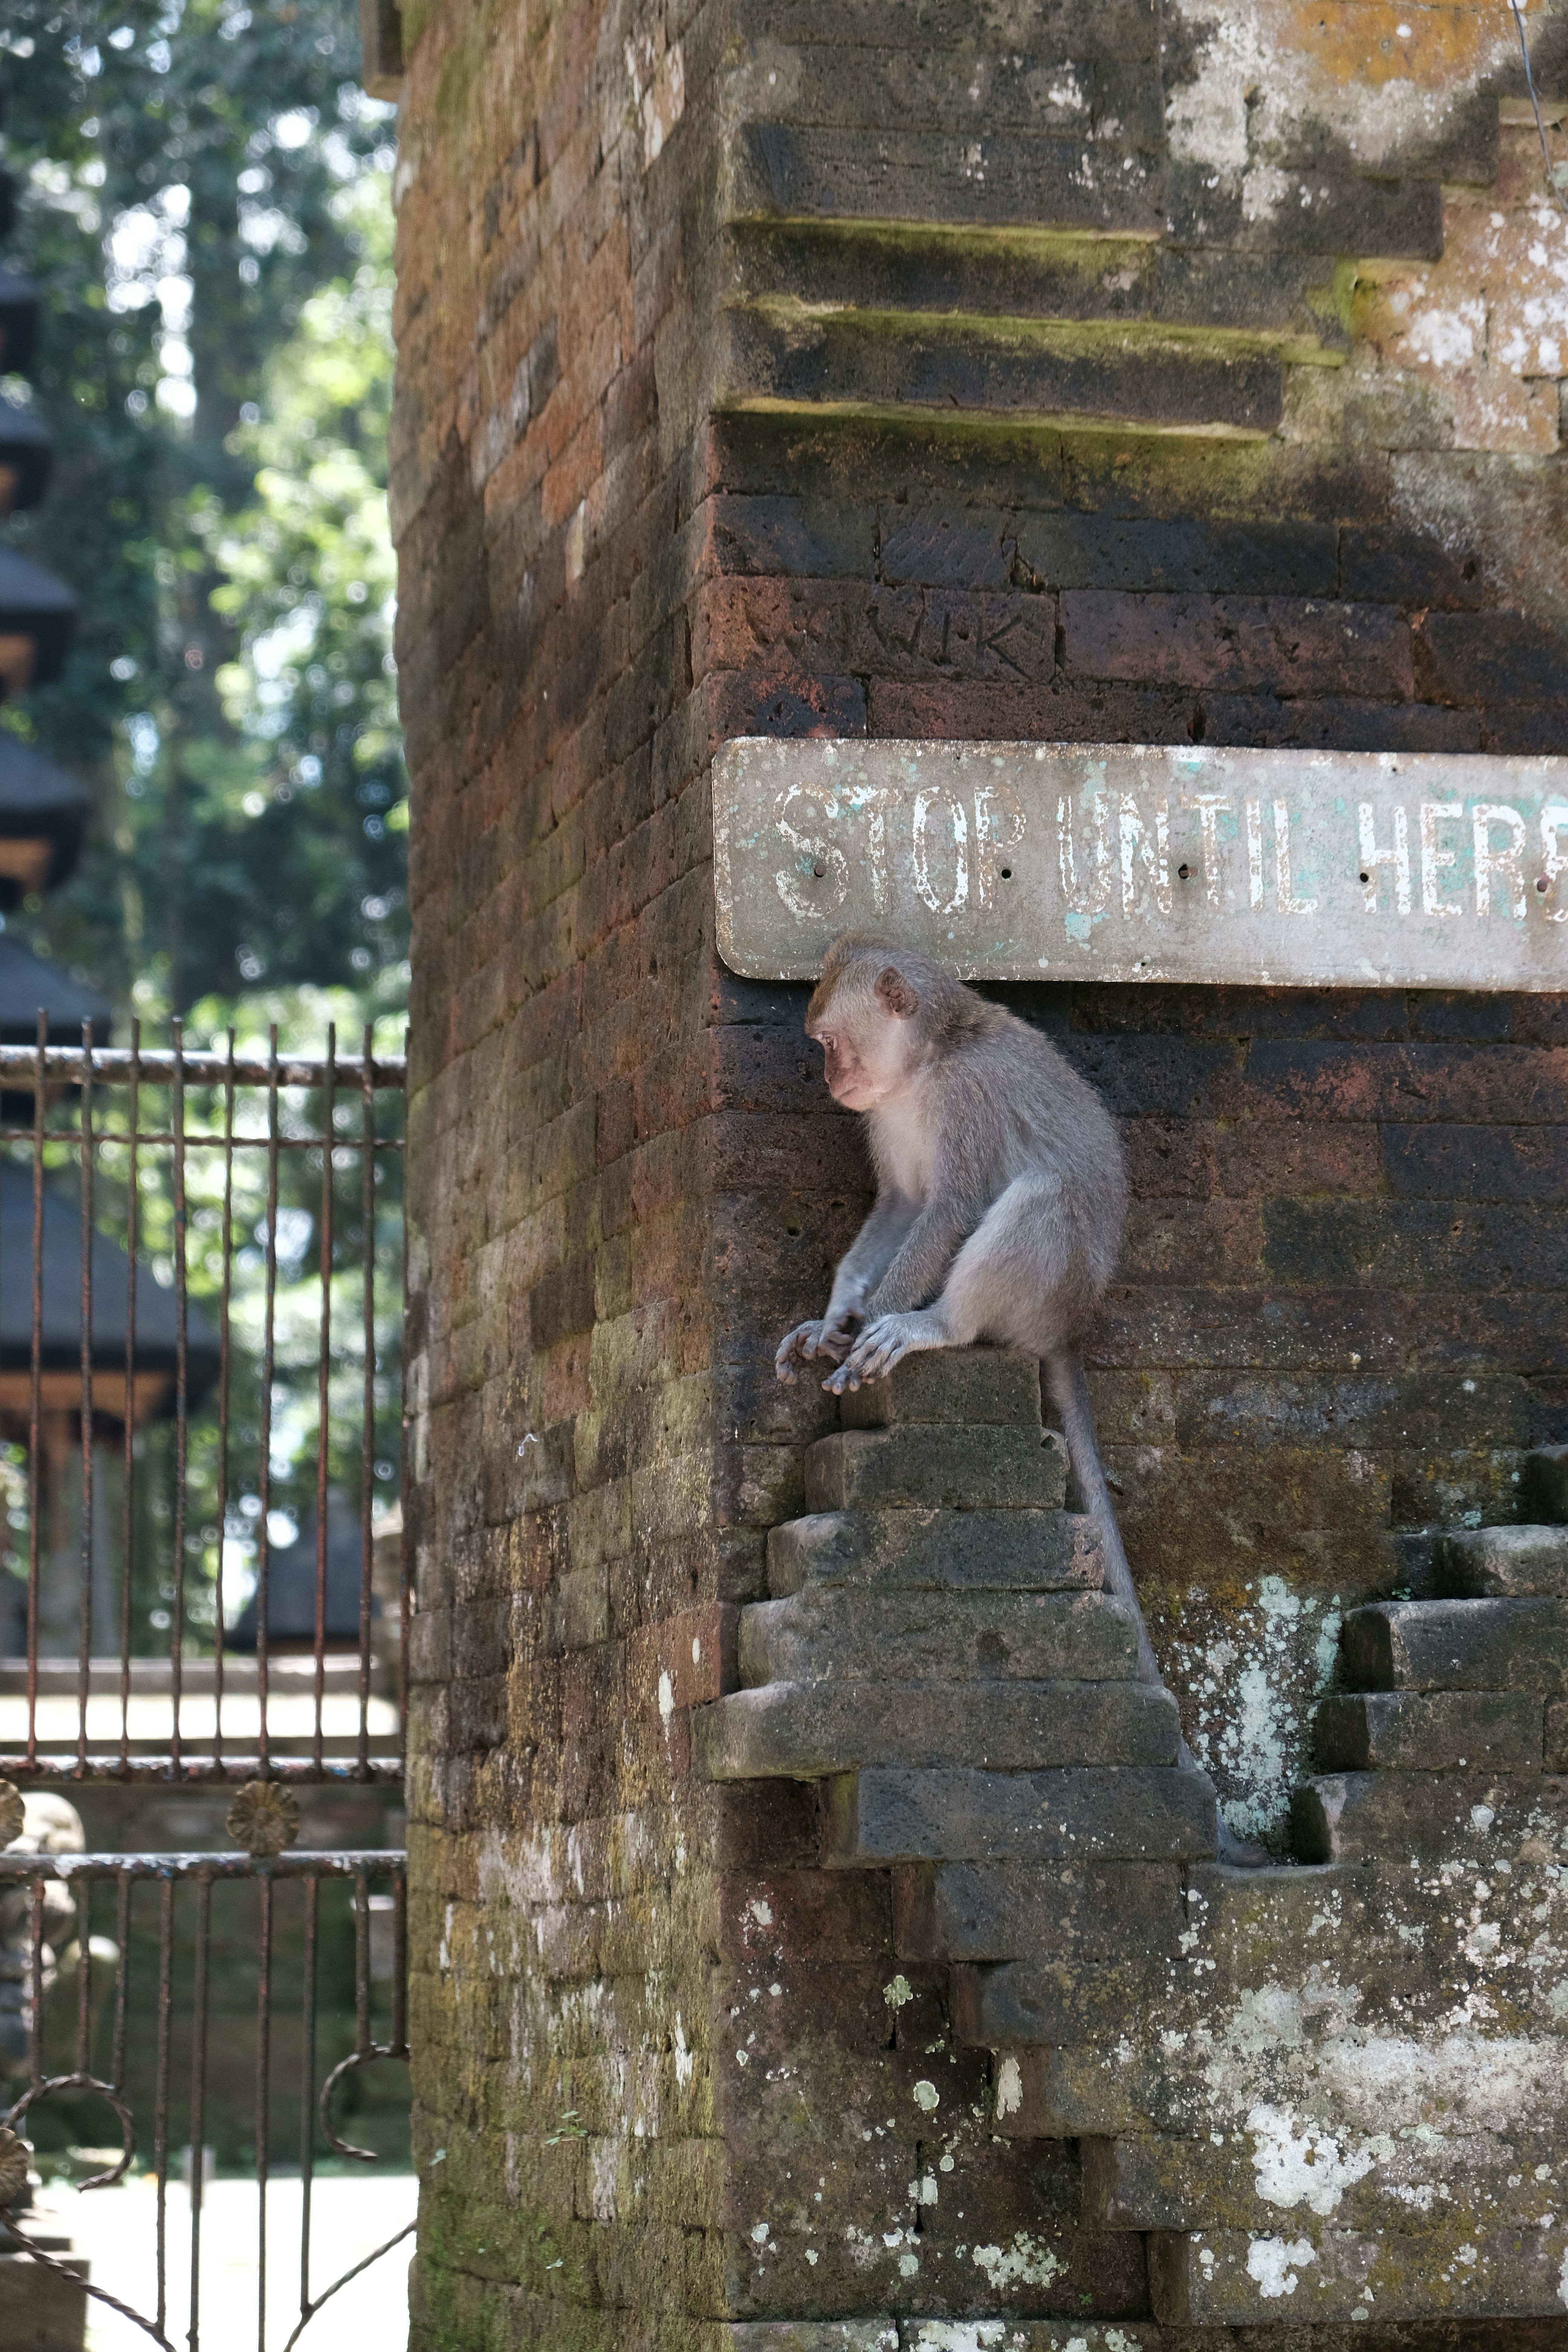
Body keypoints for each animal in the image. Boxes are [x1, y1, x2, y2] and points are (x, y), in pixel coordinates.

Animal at [775, 931, 1260, 1863]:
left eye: (828, 1042)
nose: (827, 1079)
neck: (930, 1060)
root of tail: (1068, 1323)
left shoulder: (960, 1106)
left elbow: (947, 1209)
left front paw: (875, 1325)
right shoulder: (889, 1119)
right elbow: (903, 1205)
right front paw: (834, 1318)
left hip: (1044, 1283)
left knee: (1036, 1197)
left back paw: (938, 1325)